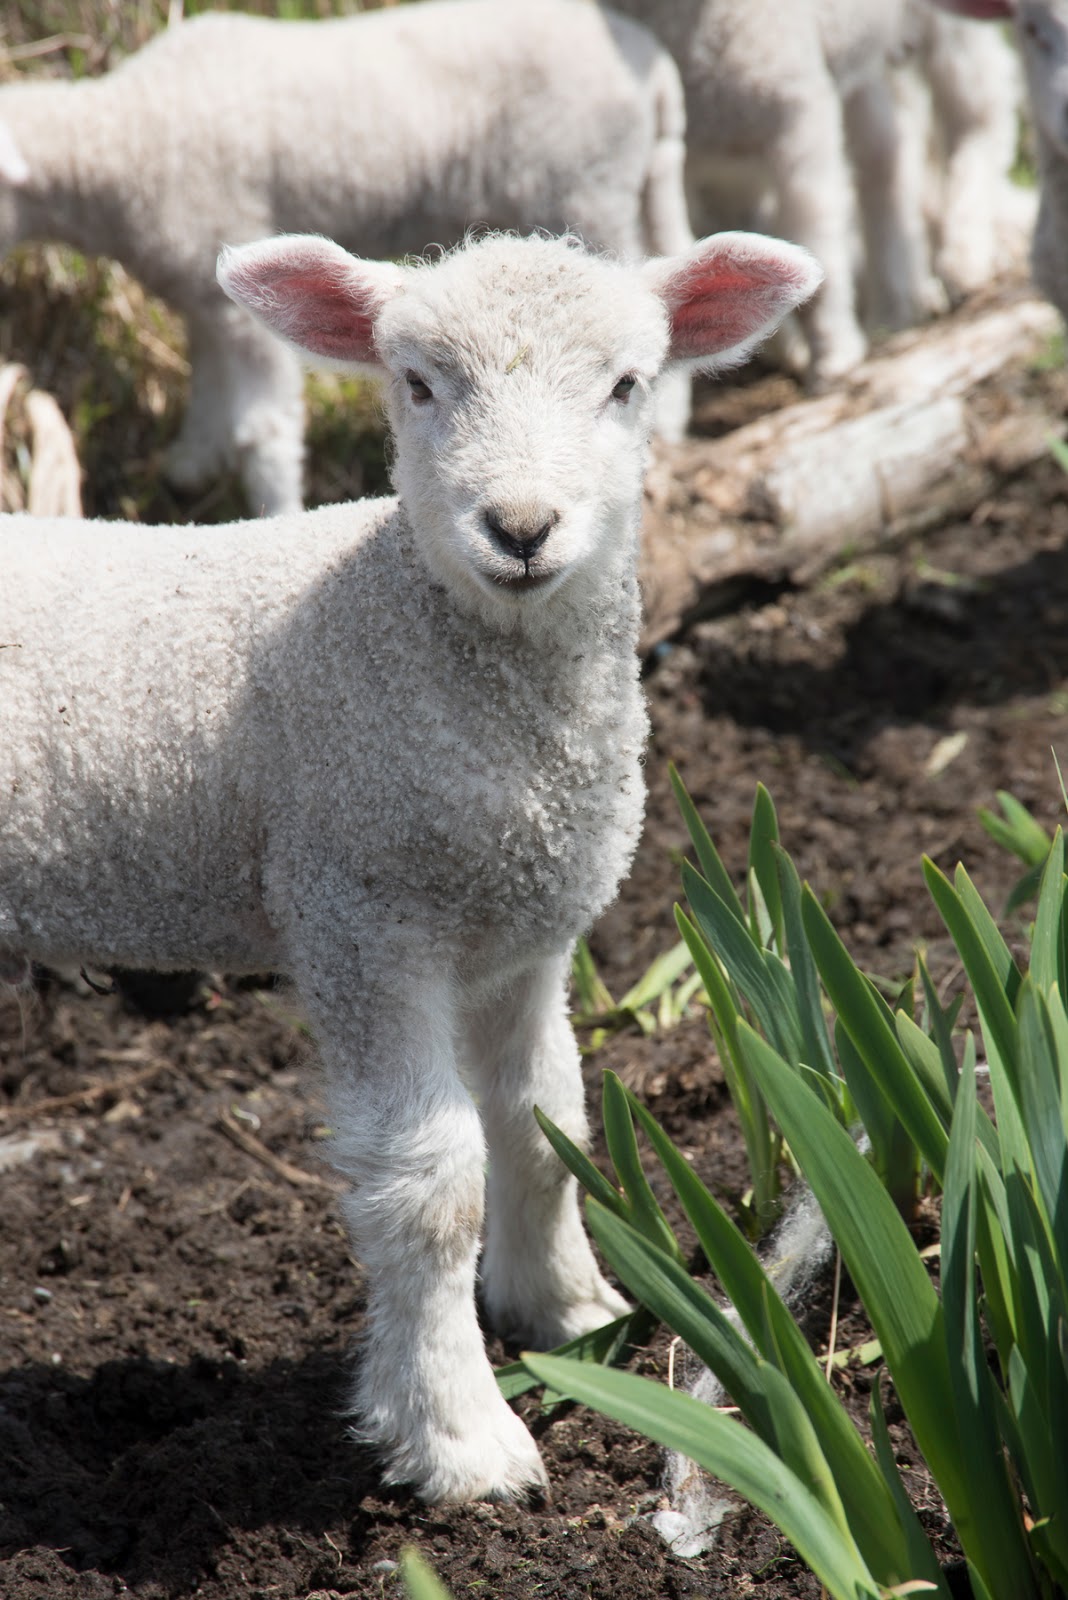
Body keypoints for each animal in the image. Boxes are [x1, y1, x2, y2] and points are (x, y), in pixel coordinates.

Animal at [0, 0, 695, 517]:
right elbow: (207, 382)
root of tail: (657, 70)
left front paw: (272, 510)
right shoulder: (200, 288)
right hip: (642, 176)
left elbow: (265, 425)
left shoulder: (227, 264)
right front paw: (193, 462)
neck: (119, 141)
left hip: (587, 191)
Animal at [0, 226, 822, 1502]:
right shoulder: (362, 912)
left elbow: (544, 1119)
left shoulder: (521, 927)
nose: (521, 527)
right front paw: (461, 1435)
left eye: (627, 385)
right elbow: (431, 1181)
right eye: (419, 383)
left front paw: (570, 1313)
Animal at [606, 0, 944, 385]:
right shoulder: (708, 163)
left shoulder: (800, 114)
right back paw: (898, 306)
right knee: (888, 153)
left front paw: (831, 358)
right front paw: (785, 347)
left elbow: (814, 240)